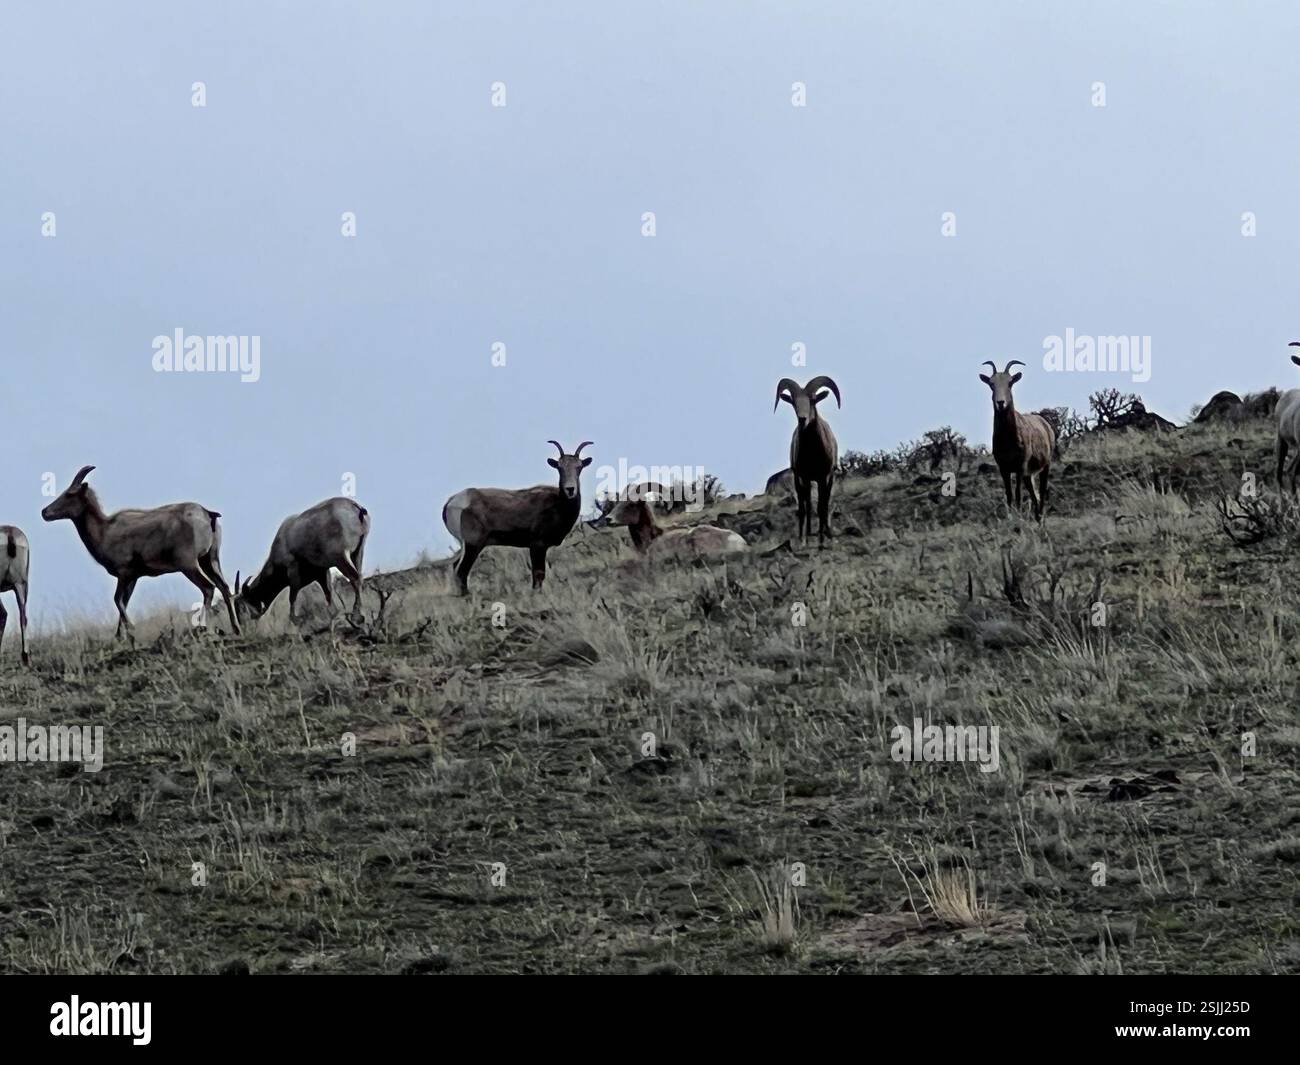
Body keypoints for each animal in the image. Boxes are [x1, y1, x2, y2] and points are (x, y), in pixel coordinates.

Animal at [40, 465, 240, 637]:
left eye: (70, 494)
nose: (45, 512)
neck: (105, 531)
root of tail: (207, 514)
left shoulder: (124, 573)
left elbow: (117, 600)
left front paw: (131, 628)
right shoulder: (133, 577)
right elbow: (124, 602)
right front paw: (120, 637)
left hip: (189, 564)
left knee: (208, 587)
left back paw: (205, 628)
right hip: (210, 559)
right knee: (224, 587)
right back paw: (236, 628)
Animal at [235, 497, 369, 624]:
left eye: (243, 604)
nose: (245, 624)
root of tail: (356, 507)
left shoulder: (293, 568)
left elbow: (293, 595)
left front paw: (294, 619)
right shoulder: (321, 572)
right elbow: (328, 594)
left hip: (341, 557)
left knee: (355, 578)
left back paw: (357, 615)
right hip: (358, 553)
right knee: (359, 576)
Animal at [442, 440, 592, 594]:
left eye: (579, 467)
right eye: (559, 468)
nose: (570, 489)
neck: (558, 505)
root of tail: (453, 501)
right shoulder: (537, 546)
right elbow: (538, 575)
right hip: (472, 546)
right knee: (461, 571)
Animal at [774, 376, 842, 546]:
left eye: (812, 400)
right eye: (793, 401)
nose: (802, 419)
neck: (813, 452)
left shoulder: (824, 477)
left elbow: (822, 506)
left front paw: (825, 537)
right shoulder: (804, 477)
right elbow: (807, 508)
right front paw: (806, 539)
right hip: (801, 481)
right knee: (805, 506)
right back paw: (804, 536)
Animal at [979, 360, 1055, 519]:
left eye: (1010, 382)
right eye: (991, 384)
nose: (1000, 402)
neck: (1009, 440)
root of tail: (1046, 425)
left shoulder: (1020, 467)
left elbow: (1018, 493)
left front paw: (1018, 517)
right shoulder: (1004, 468)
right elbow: (1009, 494)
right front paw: (1010, 518)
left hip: (1045, 466)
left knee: (1041, 492)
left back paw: (1041, 518)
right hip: (1029, 475)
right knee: (1035, 494)